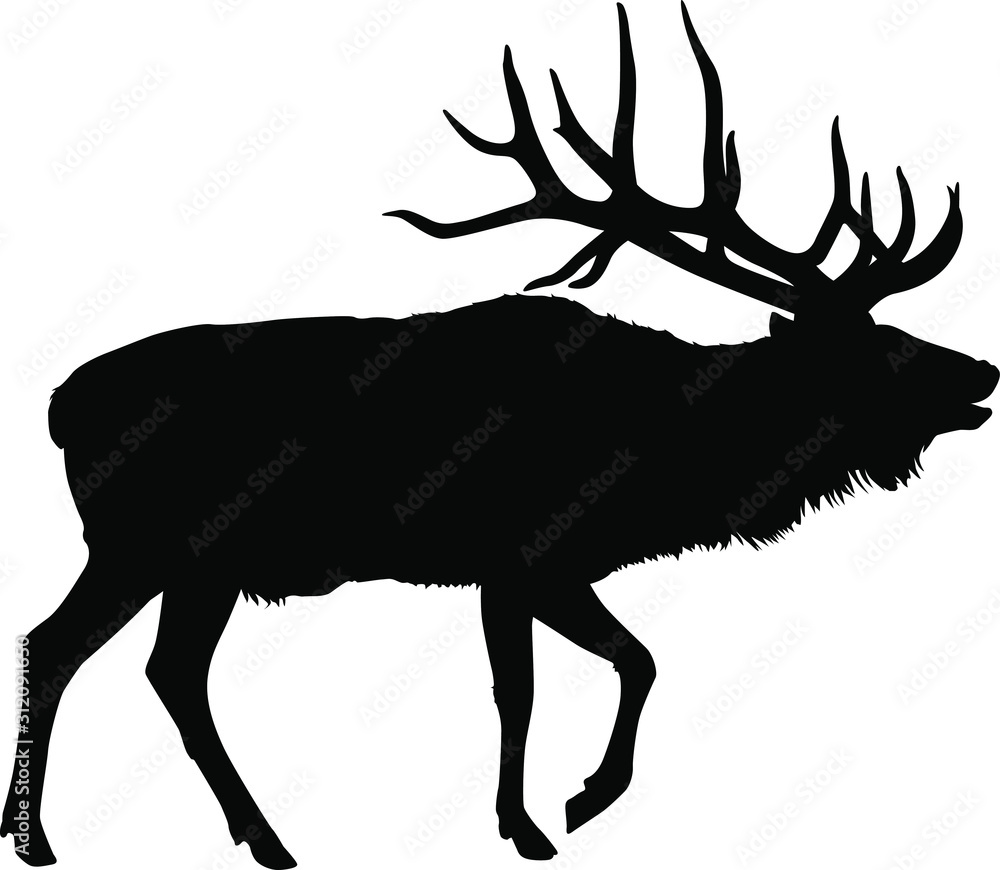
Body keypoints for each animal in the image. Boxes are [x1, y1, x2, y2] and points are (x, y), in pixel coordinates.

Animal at [3, 2, 996, 867]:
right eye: (871, 347)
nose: (982, 372)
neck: (661, 461)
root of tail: (57, 404)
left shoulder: (554, 564)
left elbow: (635, 660)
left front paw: (576, 799)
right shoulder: (515, 554)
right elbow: (529, 689)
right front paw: (540, 820)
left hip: (181, 563)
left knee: (128, 663)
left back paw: (200, 839)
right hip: (153, 546)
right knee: (92, 655)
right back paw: (86, 838)